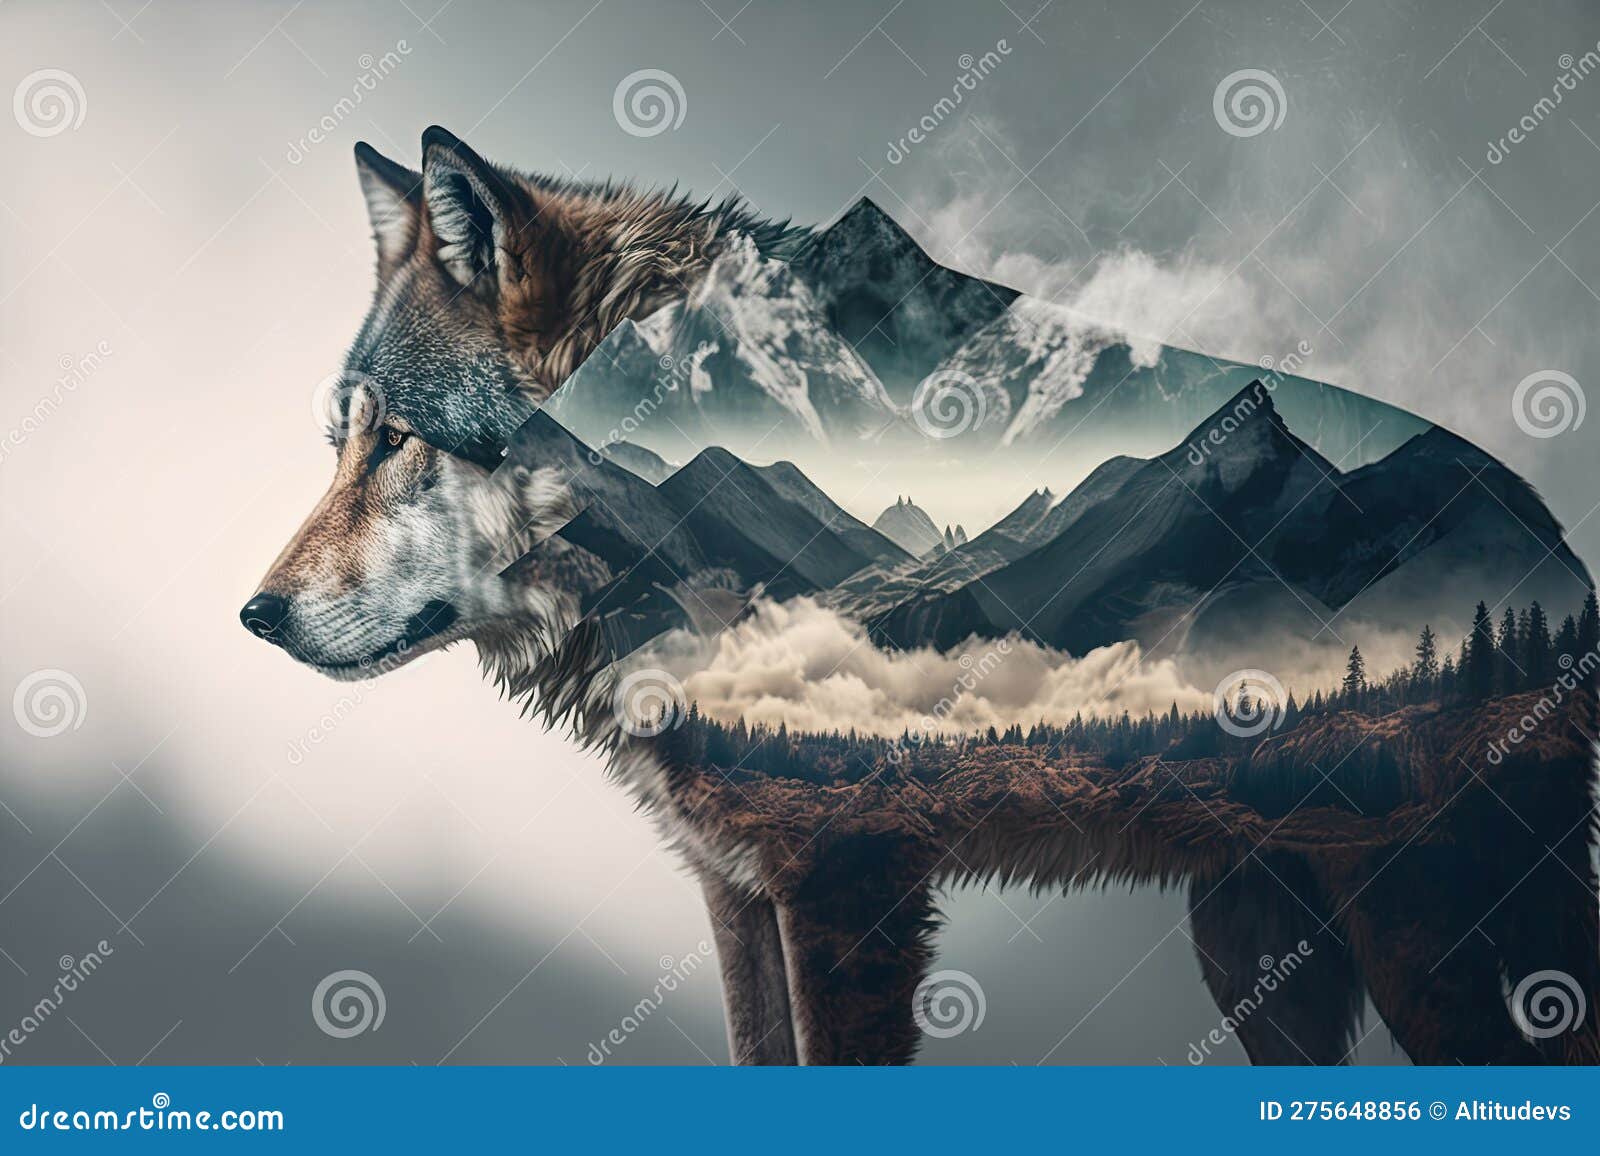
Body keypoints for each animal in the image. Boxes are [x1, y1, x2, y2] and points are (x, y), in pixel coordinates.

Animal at [242, 127, 1599, 1066]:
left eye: (397, 441)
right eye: (339, 441)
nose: (255, 615)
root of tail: (1551, 534)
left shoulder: (848, 886)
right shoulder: (740, 892)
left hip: (1430, 951)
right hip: (1257, 953)